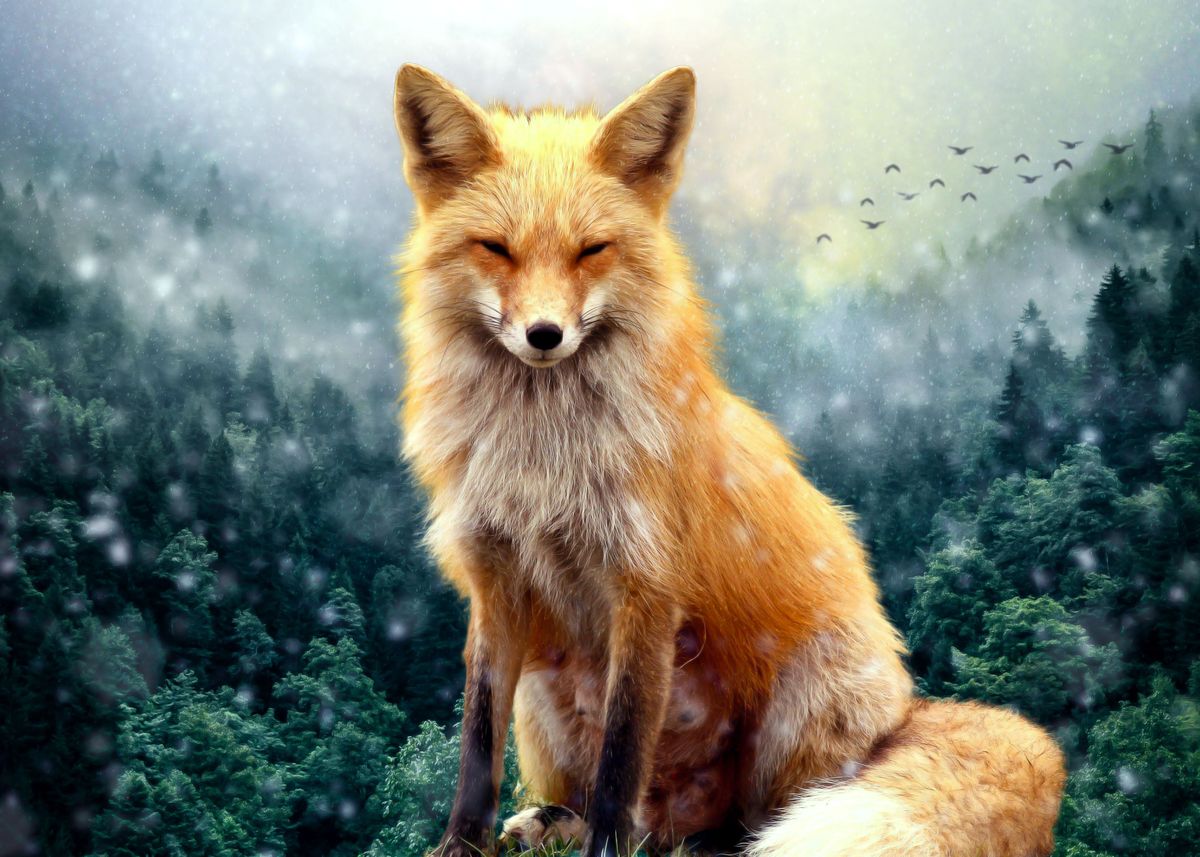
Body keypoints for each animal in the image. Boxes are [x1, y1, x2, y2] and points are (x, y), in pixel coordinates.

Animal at [392, 63, 1066, 857]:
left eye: (592, 250)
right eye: (496, 248)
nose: (545, 334)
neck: (542, 455)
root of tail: (905, 709)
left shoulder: (646, 585)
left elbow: (622, 754)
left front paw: (601, 851)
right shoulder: (494, 580)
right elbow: (478, 737)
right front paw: (460, 845)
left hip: (803, 704)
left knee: (736, 819)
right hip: (544, 691)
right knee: (634, 814)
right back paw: (556, 822)